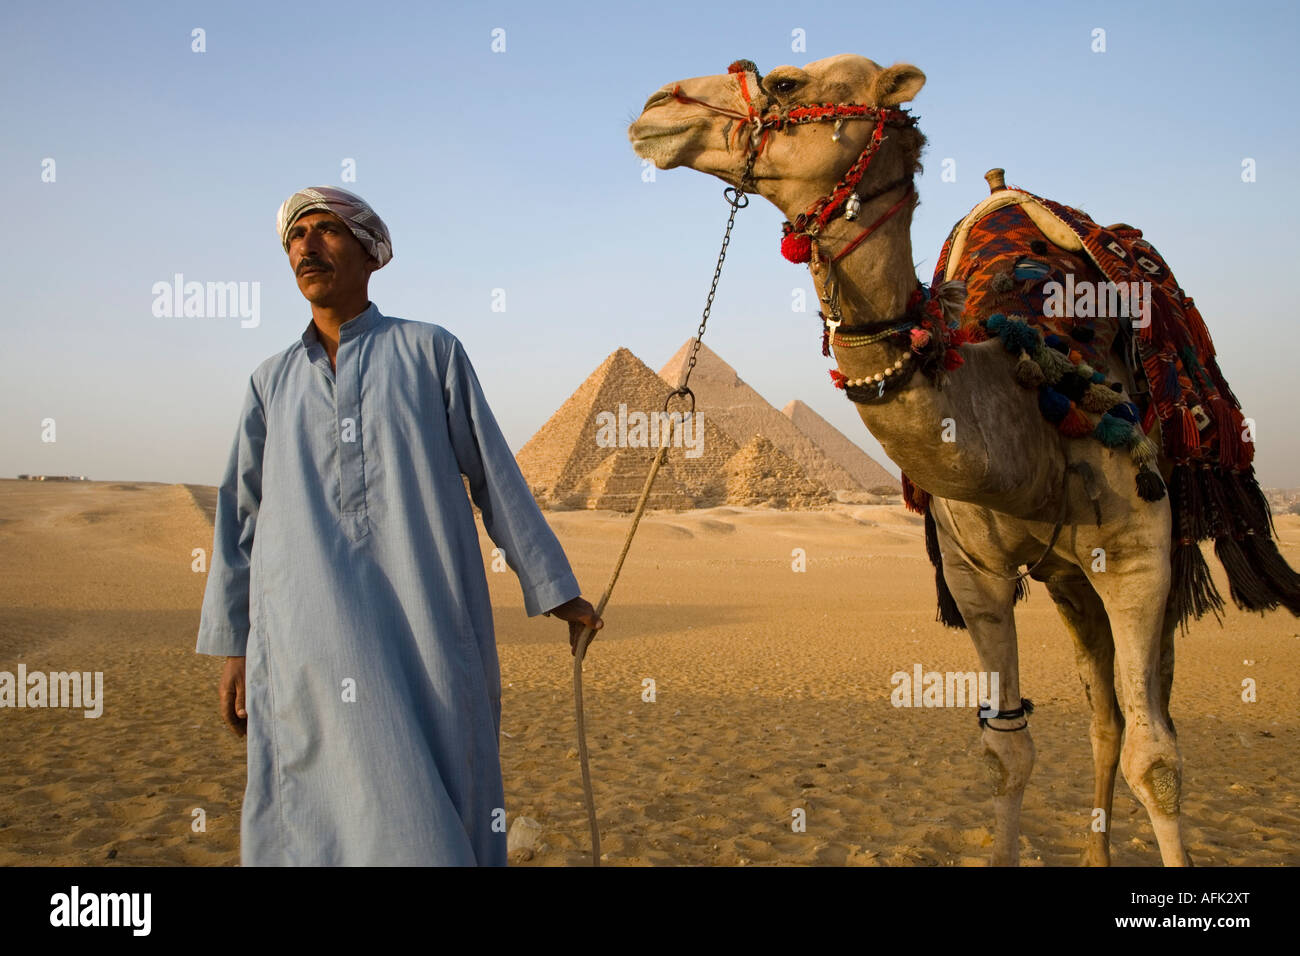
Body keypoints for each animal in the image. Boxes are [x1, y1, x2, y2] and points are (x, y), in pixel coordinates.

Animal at [629, 54, 1300, 866]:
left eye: (788, 82)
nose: (658, 106)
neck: (1025, 413)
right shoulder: (973, 573)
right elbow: (1007, 749)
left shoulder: (1139, 554)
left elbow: (1159, 760)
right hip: (1069, 580)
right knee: (1103, 712)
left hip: (1159, 554)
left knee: (1147, 711)